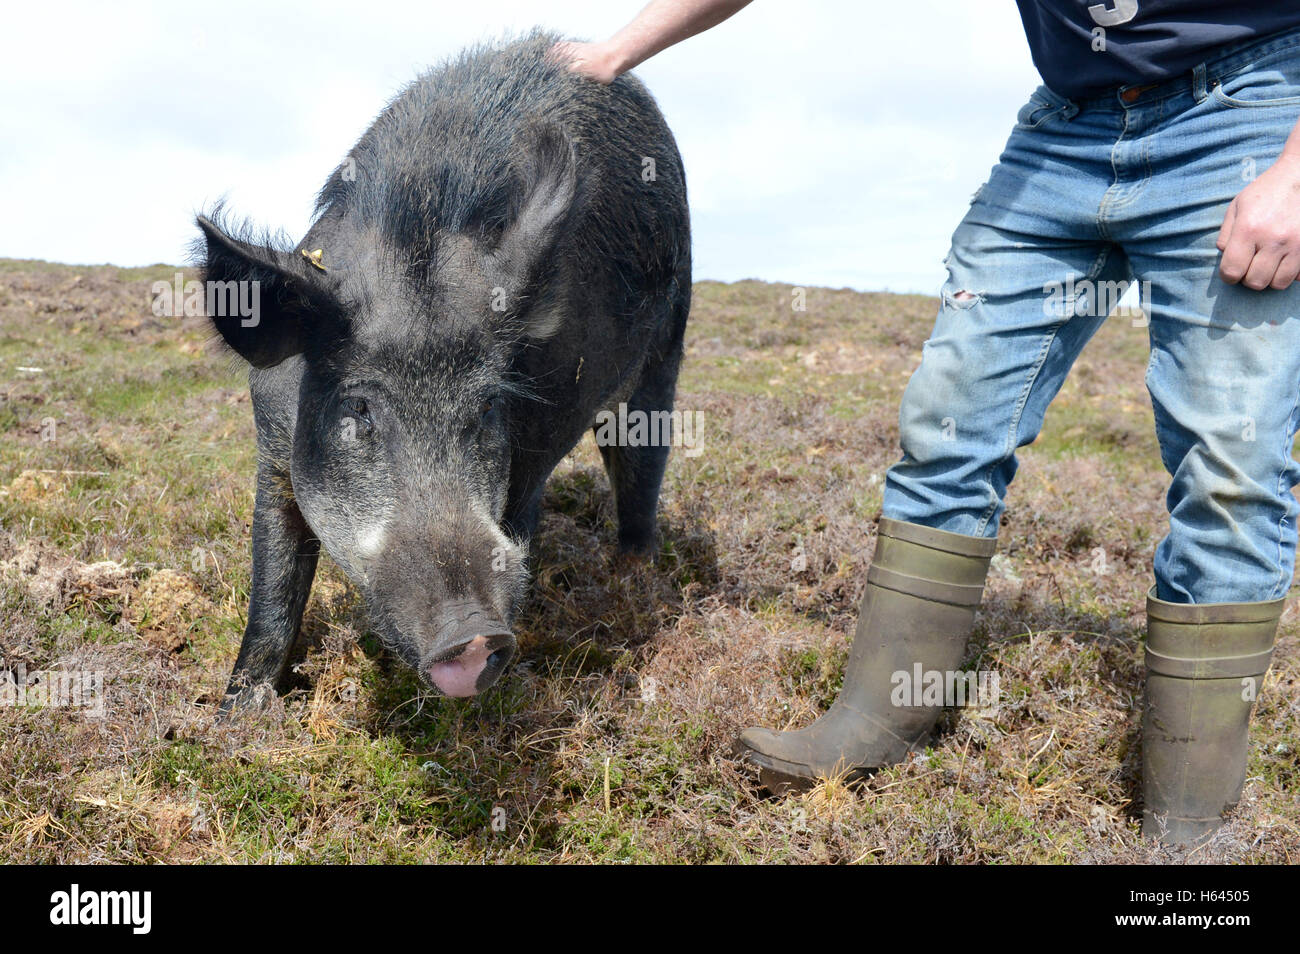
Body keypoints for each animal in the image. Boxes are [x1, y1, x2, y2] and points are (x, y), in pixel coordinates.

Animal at [198, 31, 690, 710]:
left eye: (486, 407)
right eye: (359, 409)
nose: (474, 633)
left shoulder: (530, 457)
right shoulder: (271, 449)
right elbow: (272, 592)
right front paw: (235, 716)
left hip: (667, 350)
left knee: (642, 468)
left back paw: (634, 582)